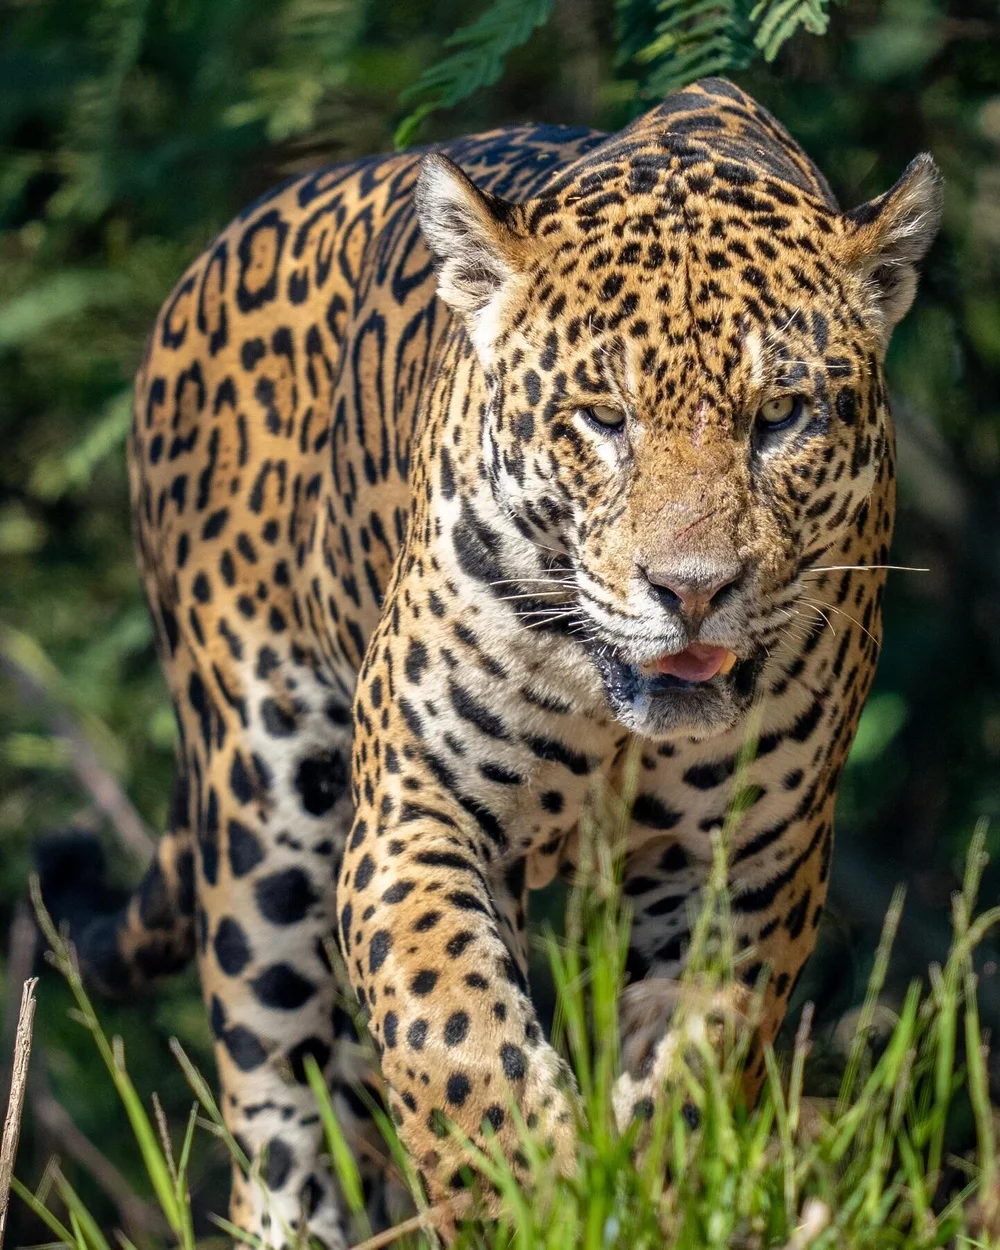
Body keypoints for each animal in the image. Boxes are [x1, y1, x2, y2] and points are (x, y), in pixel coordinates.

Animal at [41, 77, 941, 1248]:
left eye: (780, 416)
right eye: (601, 418)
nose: (692, 589)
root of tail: (212, 258)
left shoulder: (743, 858)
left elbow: (689, 1065)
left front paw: (641, 1188)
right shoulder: (415, 811)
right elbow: (452, 1025)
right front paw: (526, 1190)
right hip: (260, 809)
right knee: (278, 1104)